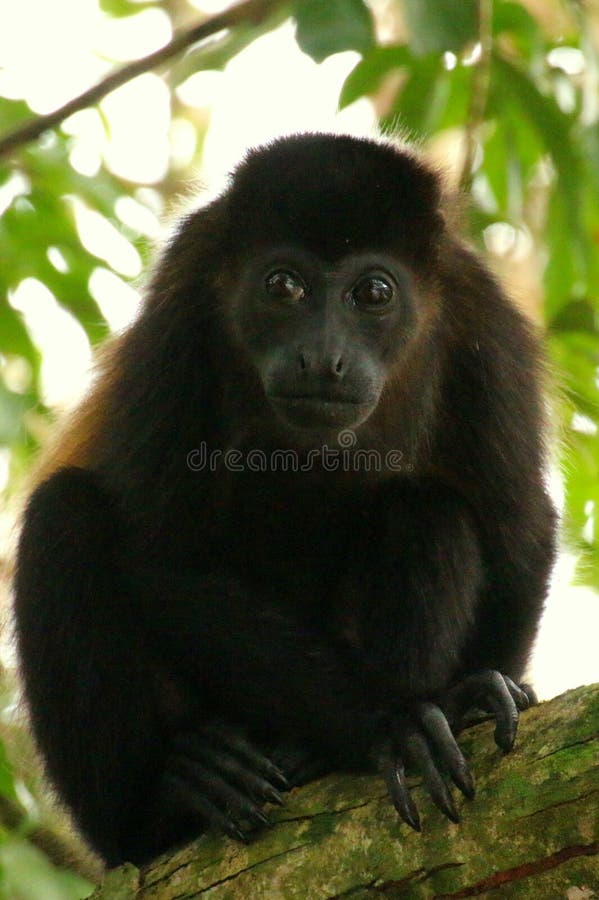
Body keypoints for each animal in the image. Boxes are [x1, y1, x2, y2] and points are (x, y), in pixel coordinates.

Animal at [14, 133, 557, 867]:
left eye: (373, 292)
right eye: (283, 285)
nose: (322, 357)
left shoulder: (482, 318)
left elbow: (517, 531)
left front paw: (464, 700)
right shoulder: (184, 299)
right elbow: (163, 556)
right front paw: (388, 722)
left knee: (427, 507)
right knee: (63, 516)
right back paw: (170, 803)